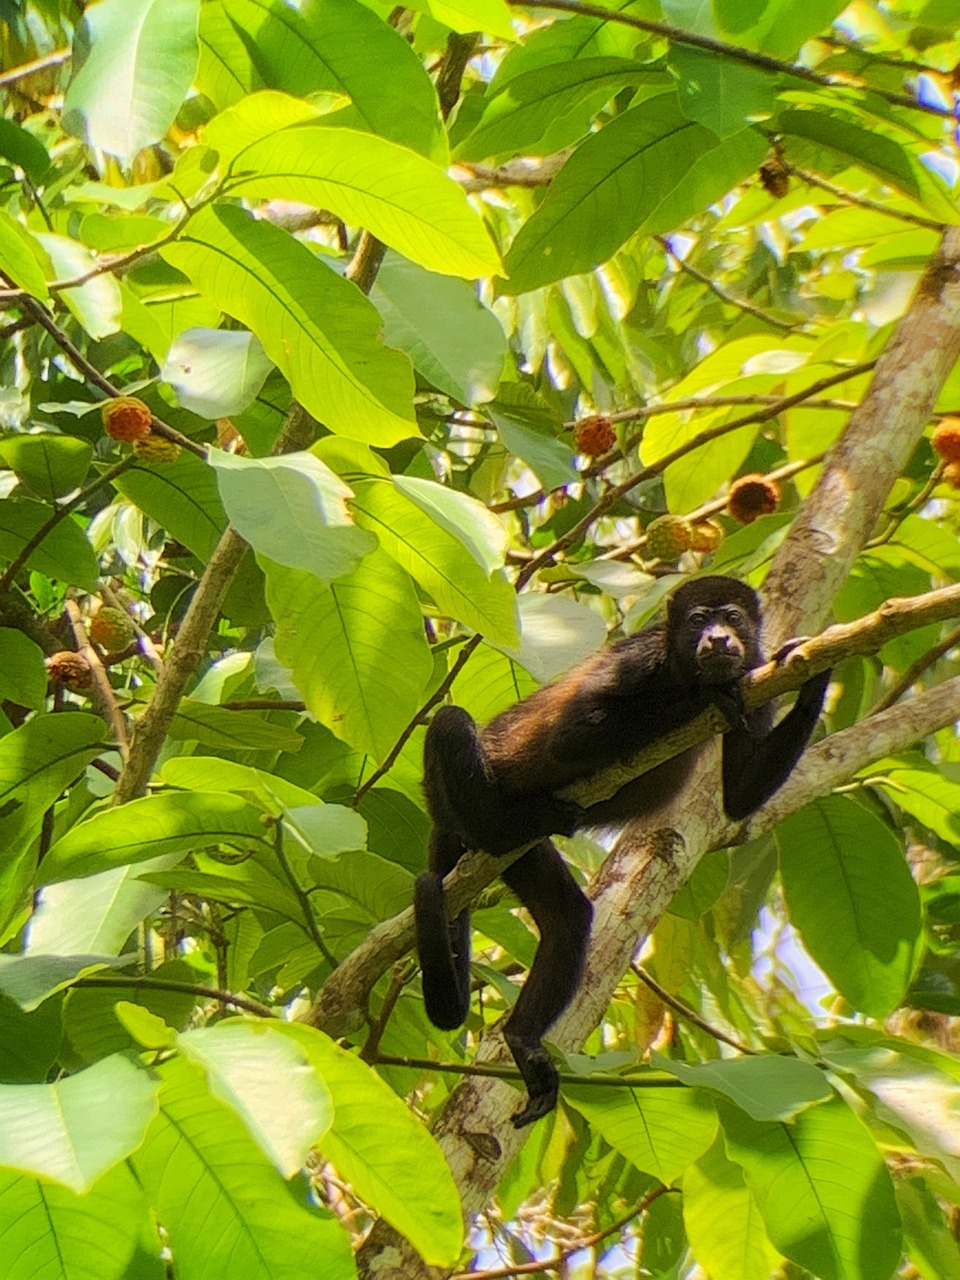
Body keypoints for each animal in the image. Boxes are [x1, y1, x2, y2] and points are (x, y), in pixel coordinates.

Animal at [414, 575, 831, 1128]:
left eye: (733, 618)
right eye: (699, 620)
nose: (718, 639)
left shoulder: (757, 672)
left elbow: (740, 795)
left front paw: (816, 676)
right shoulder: (638, 660)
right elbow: (572, 737)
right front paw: (706, 695)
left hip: (520, 859)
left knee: (569, 918)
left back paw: (523, 1041)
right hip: (457, 804)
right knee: (451, 722)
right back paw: (515, 820)